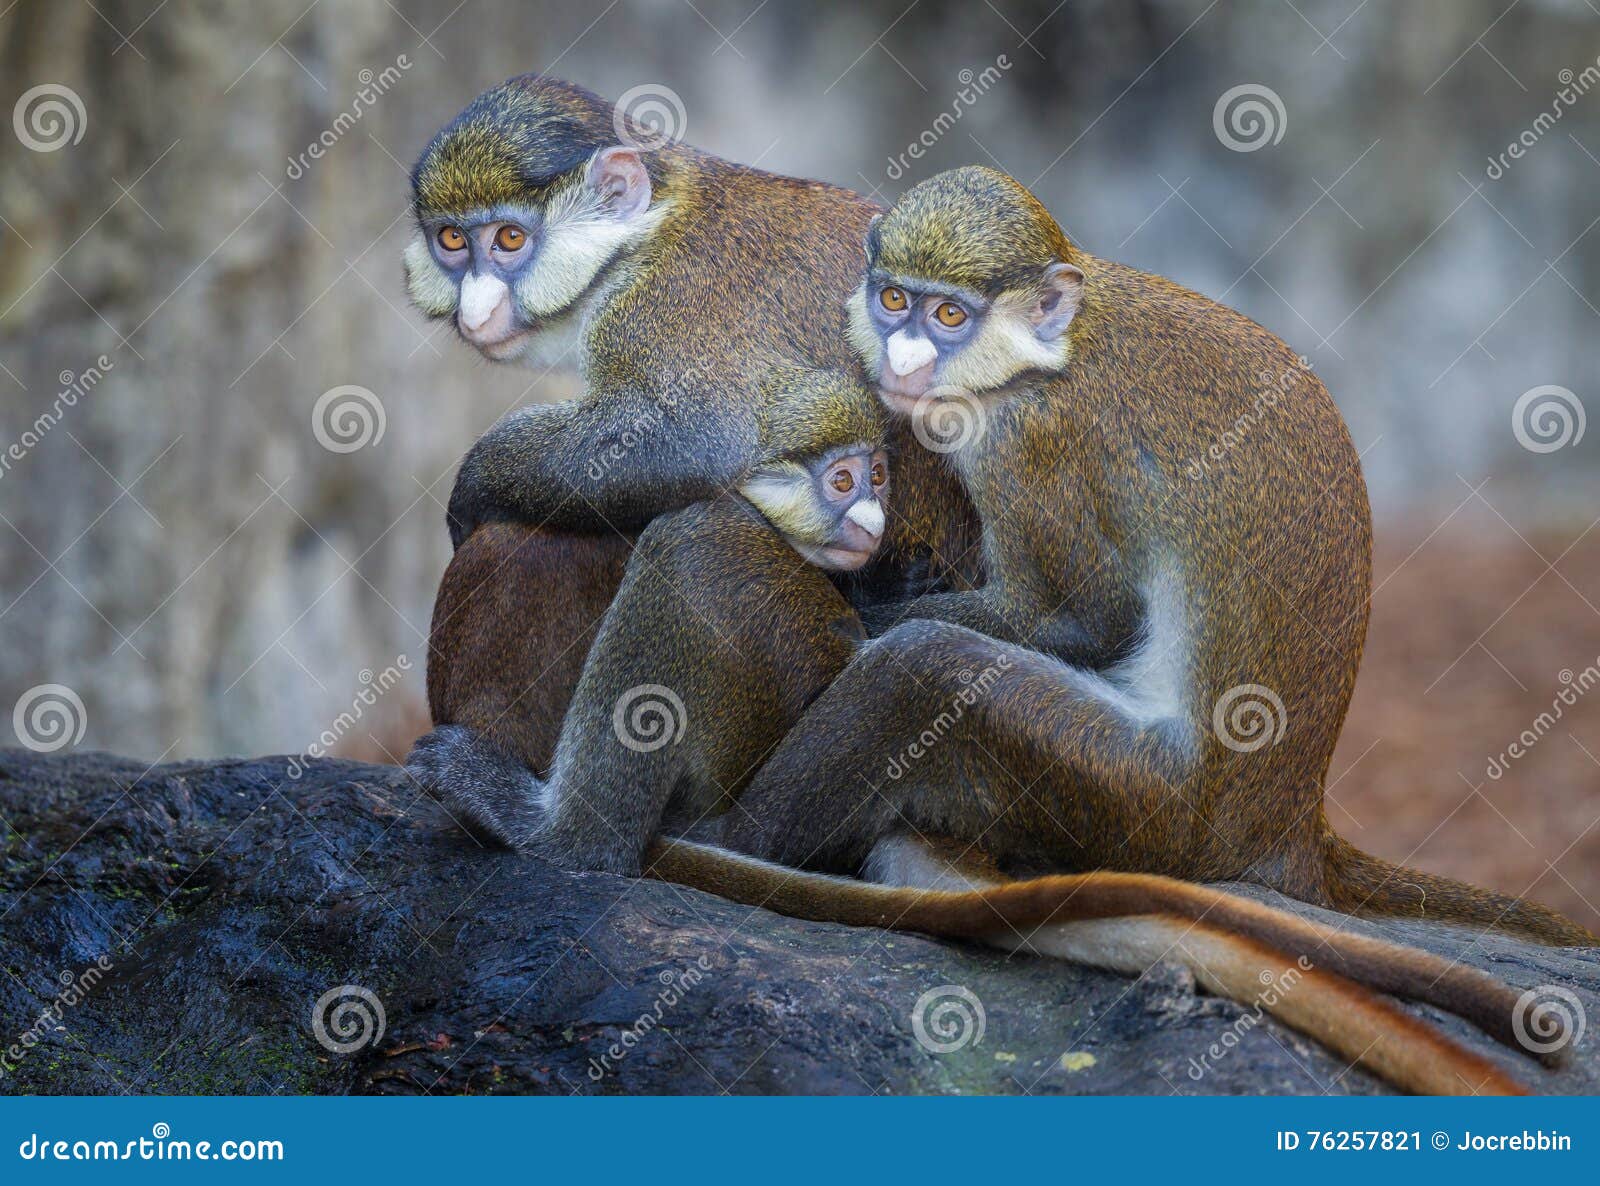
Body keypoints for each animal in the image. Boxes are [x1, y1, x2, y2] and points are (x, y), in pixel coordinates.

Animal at [706, 165, 1595, 953]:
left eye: (950, 316)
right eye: (894, 300)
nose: (904, 360)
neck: (1048, 351)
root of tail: (1287, 823)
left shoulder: (1029, 443)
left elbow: (1089, 617)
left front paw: (859, 605)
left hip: (1147, 809)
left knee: (929, 670)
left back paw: (729, 838)